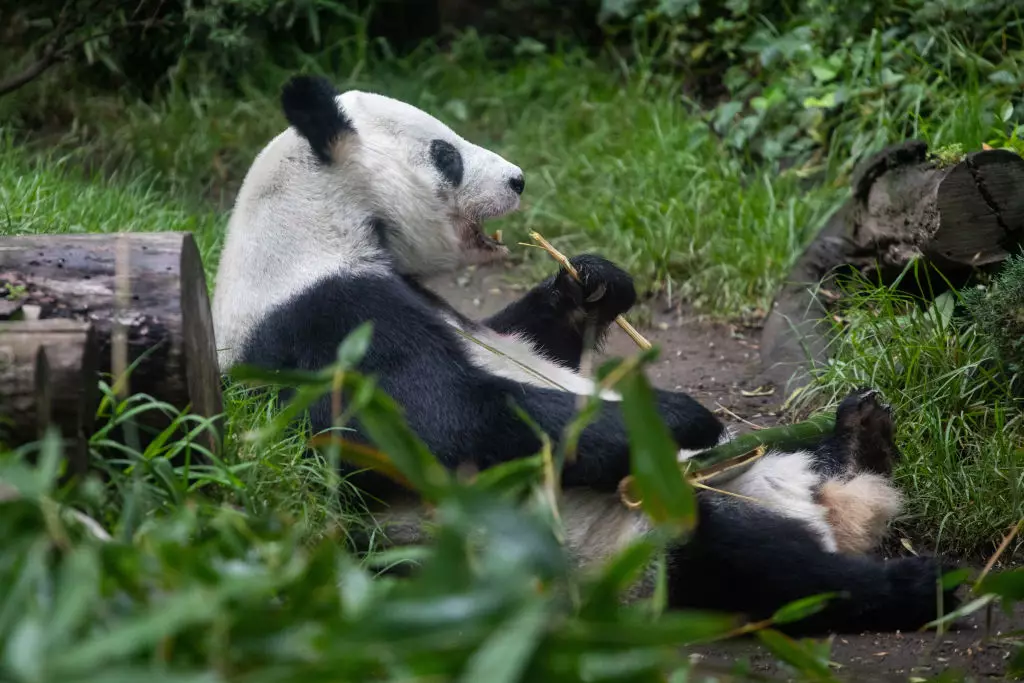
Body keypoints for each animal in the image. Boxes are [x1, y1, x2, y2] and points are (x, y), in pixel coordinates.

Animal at [211, 73, 962, 634]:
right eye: (445, 152)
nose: (517, 180)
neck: (314, 228)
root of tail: (827, 507)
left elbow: (524, 336)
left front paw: (591, 280)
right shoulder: (321, 322)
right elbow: (447, 424)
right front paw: (680, 416)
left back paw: (858, 434)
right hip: (629, 536)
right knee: (750, 562)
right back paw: (916, 580)